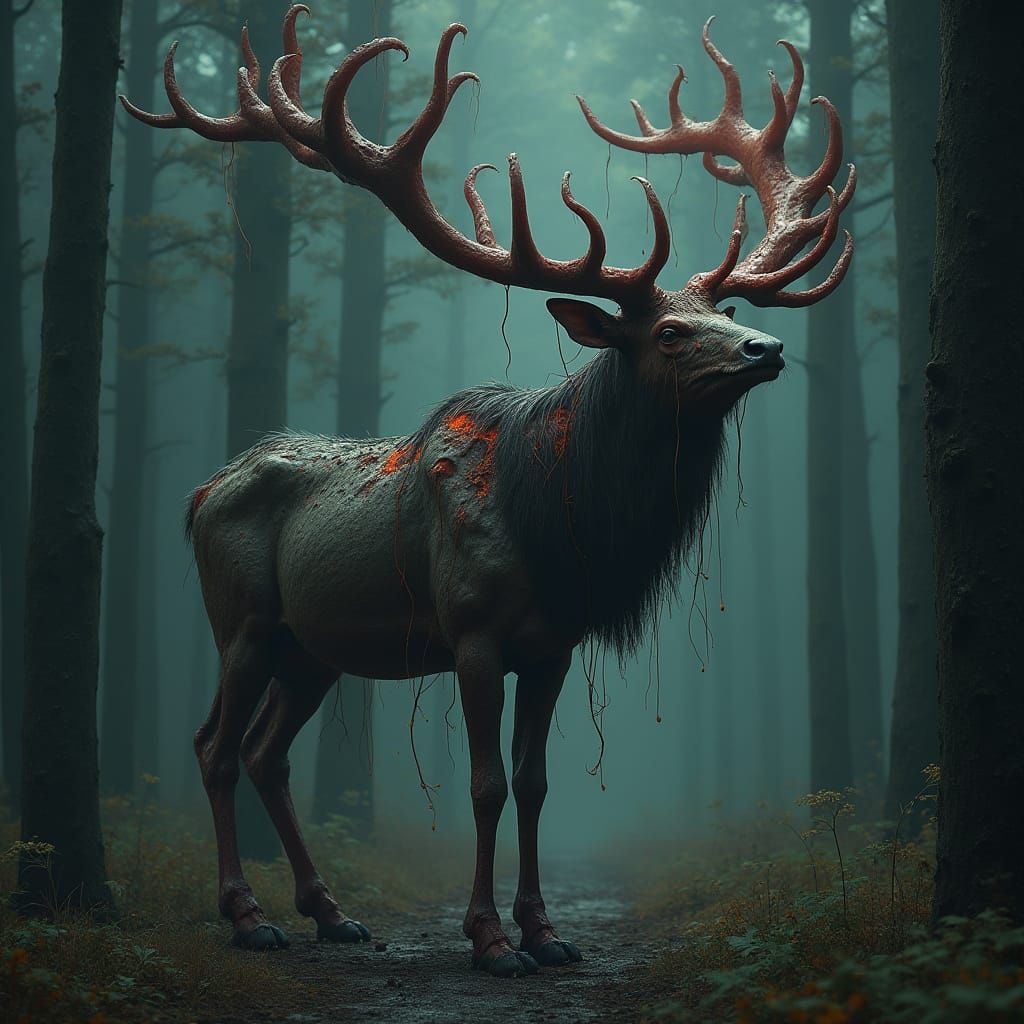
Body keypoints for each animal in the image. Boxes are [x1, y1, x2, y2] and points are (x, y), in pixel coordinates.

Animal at [122, 5, 854, 978]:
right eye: (668, 331)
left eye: (725, 314)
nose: (765, 349)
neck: (565, 532)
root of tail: (201, 492)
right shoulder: (471, 631)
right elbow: (484, 784)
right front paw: (490, 938)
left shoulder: (554, 646)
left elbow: (537, 783)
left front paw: (546, 932)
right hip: (241, 617)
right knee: (214, 746)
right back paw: (249, 918)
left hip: (311, 646)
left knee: (267, 752)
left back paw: (332, 912)